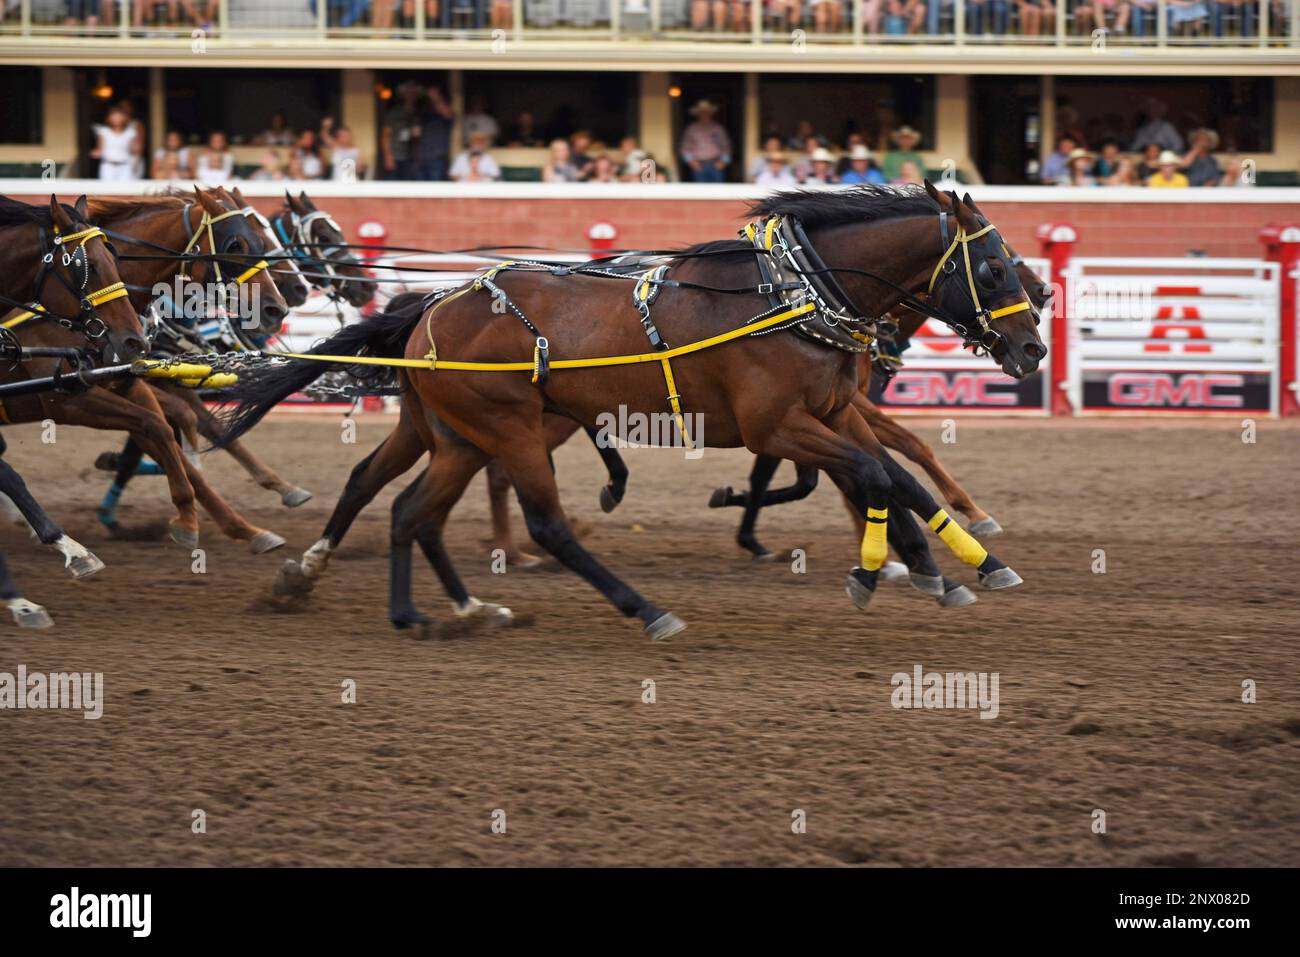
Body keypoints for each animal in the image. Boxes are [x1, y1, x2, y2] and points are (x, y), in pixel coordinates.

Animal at [219, 183, 1046, 638]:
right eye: (994, 265)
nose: (1034, 344)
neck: (795, 293)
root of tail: (432, 306)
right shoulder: (779, 424)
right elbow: (874, 474)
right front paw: (880, 570)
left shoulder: (835, 412)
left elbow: (891, 475)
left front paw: (956, 563)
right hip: (510, 427)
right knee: (540, 523)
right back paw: (642, 607)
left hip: (456, 434)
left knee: (401, 505)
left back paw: (428, 609)